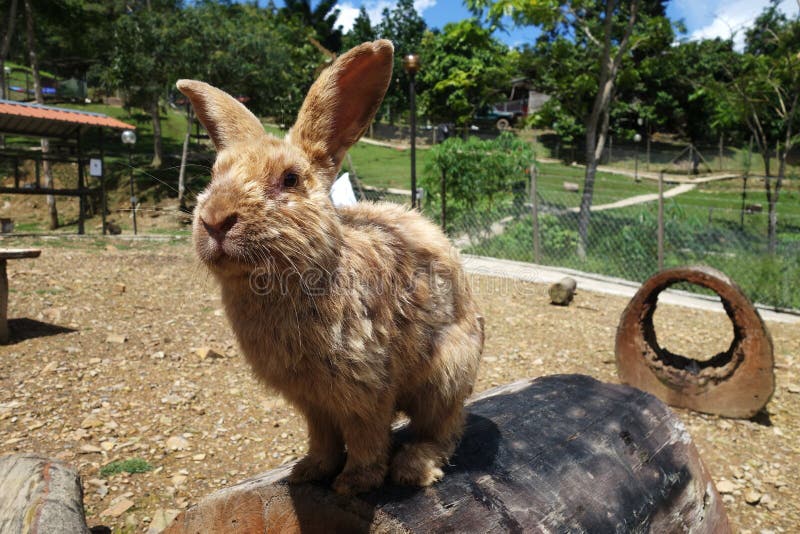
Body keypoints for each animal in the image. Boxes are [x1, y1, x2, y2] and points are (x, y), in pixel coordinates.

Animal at [176, 39, 484, 495]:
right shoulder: (312, 402)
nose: (214, 220)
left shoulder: (366, 387)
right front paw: (309, 471)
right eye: (214, 175)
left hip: (446, 374)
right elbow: (322, 437)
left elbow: (366, 435)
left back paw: (414, 468)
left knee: (444, 429)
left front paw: (354, 483)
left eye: (289, 179)